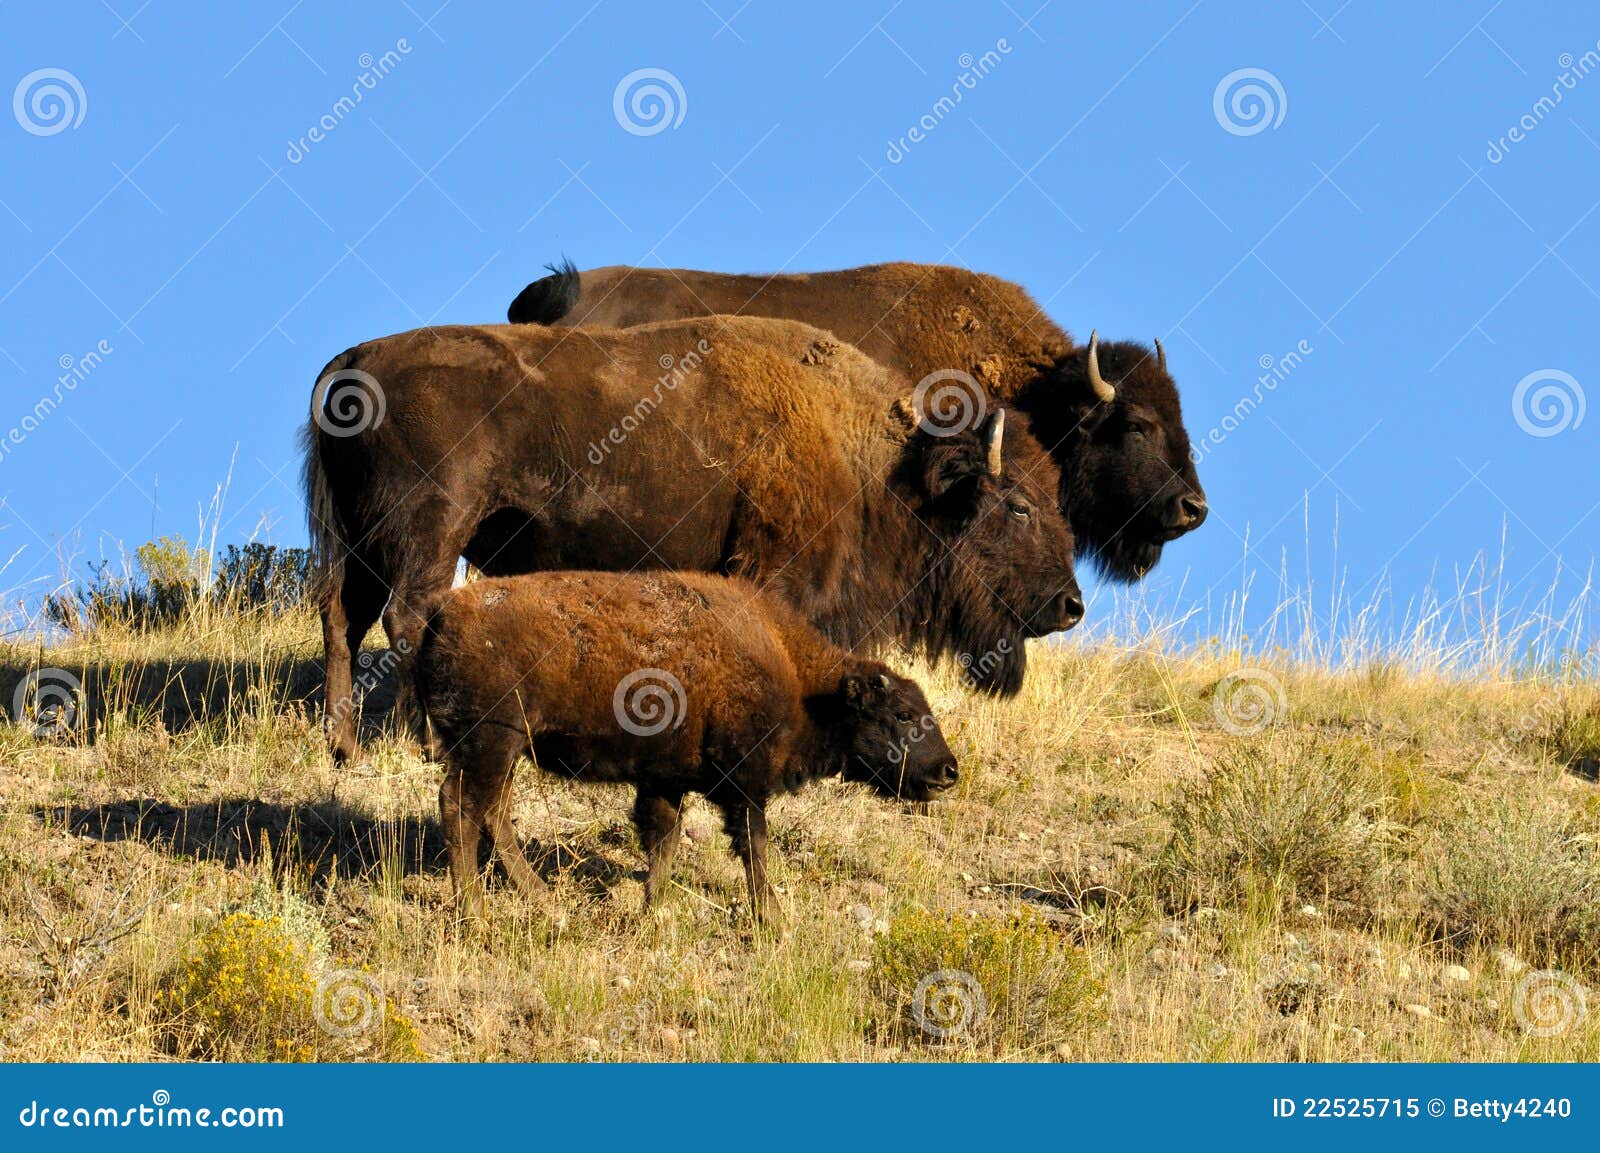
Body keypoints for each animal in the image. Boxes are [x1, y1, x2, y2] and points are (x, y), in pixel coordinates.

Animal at [303, 316, 1082, 761]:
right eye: (1017, 506)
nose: (1070, 605)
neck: (872, 459)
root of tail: (353, 359)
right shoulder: (776, 574)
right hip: (429, 530)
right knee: (407, 617)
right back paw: (427, 744)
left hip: (364, 538)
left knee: (343, 617)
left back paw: (343, 745)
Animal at [417, 571, 959, 920]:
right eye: (902, 714)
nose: (949, 771)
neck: (803, 682)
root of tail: (445, 611)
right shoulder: (744, 783)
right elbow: (753, 845)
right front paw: (773, 919)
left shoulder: (664, 781)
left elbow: (666, 839)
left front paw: (652, 908)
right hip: (490, 743)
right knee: (462, 807)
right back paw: (474, 912)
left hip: (507, 750)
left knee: (494, 814)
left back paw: (544, 904)